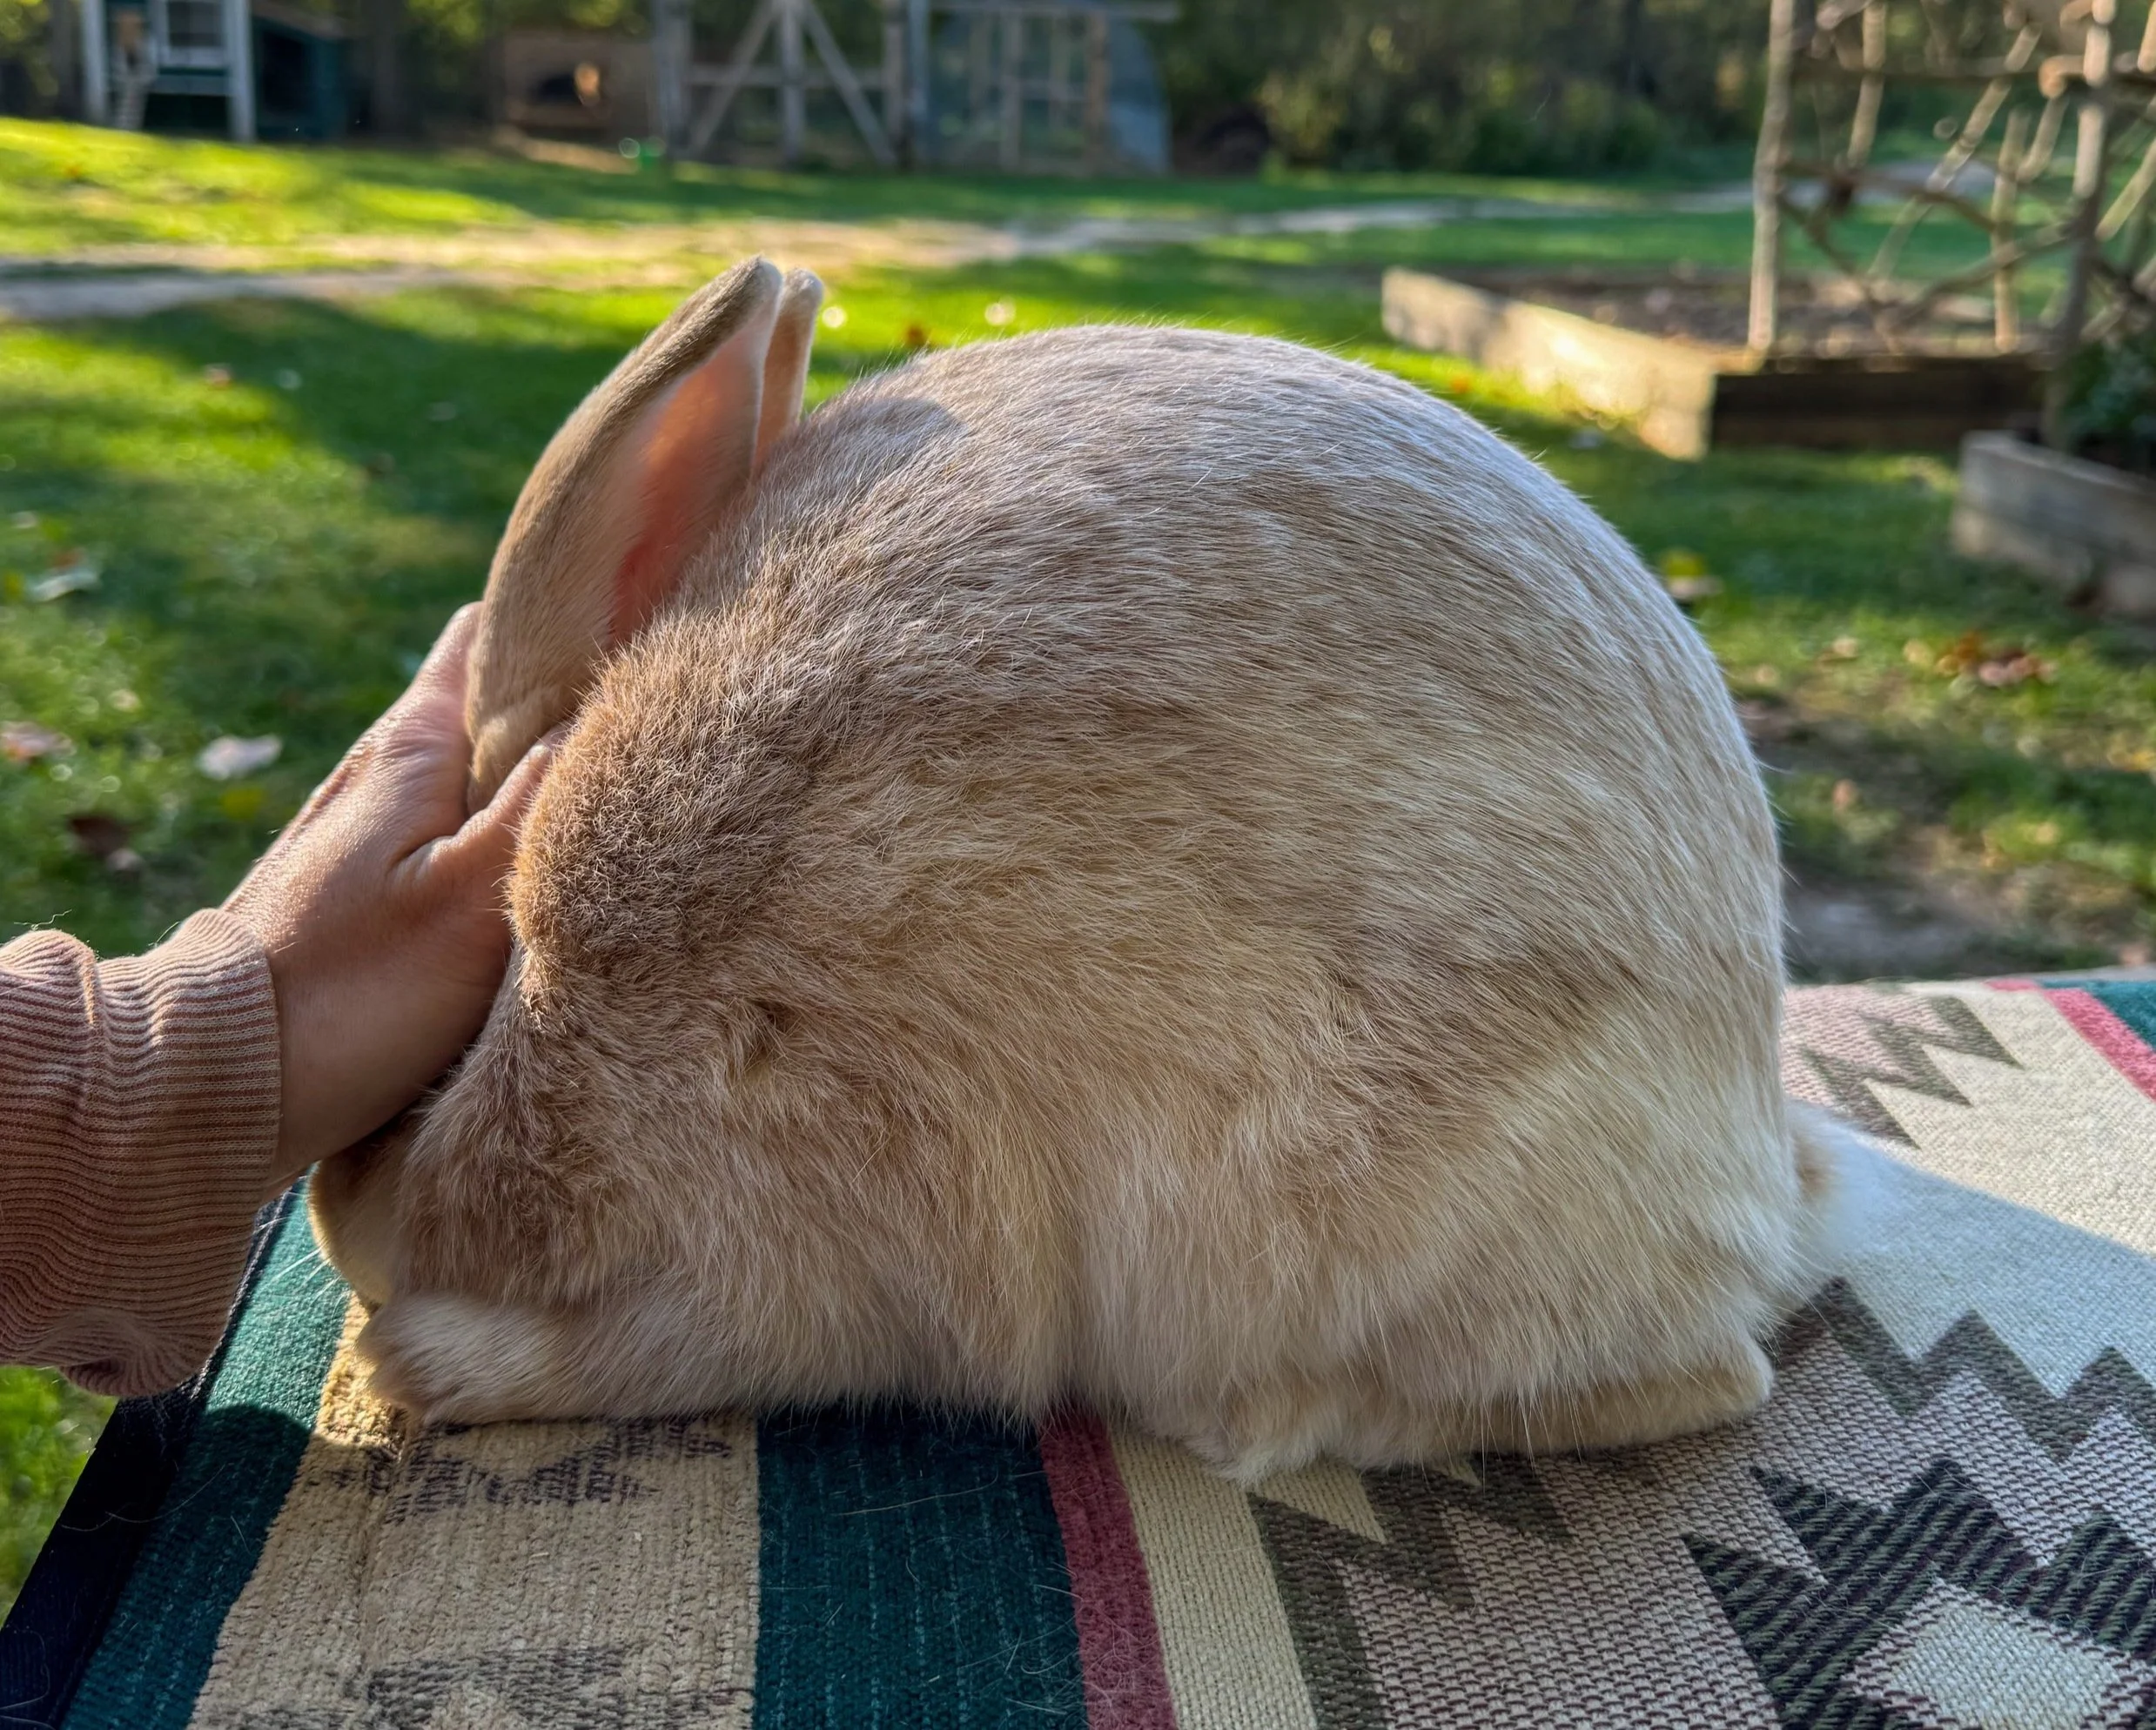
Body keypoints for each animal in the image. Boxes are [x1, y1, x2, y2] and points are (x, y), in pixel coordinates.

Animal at [311, 256, 1858, 1482]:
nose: (339, 1217)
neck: (548, 987)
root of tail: (1757, 1170)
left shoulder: (795, 1227)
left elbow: (656, 1354)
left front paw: (417, 1365)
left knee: (1701, 1383)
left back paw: (1262, 1421)